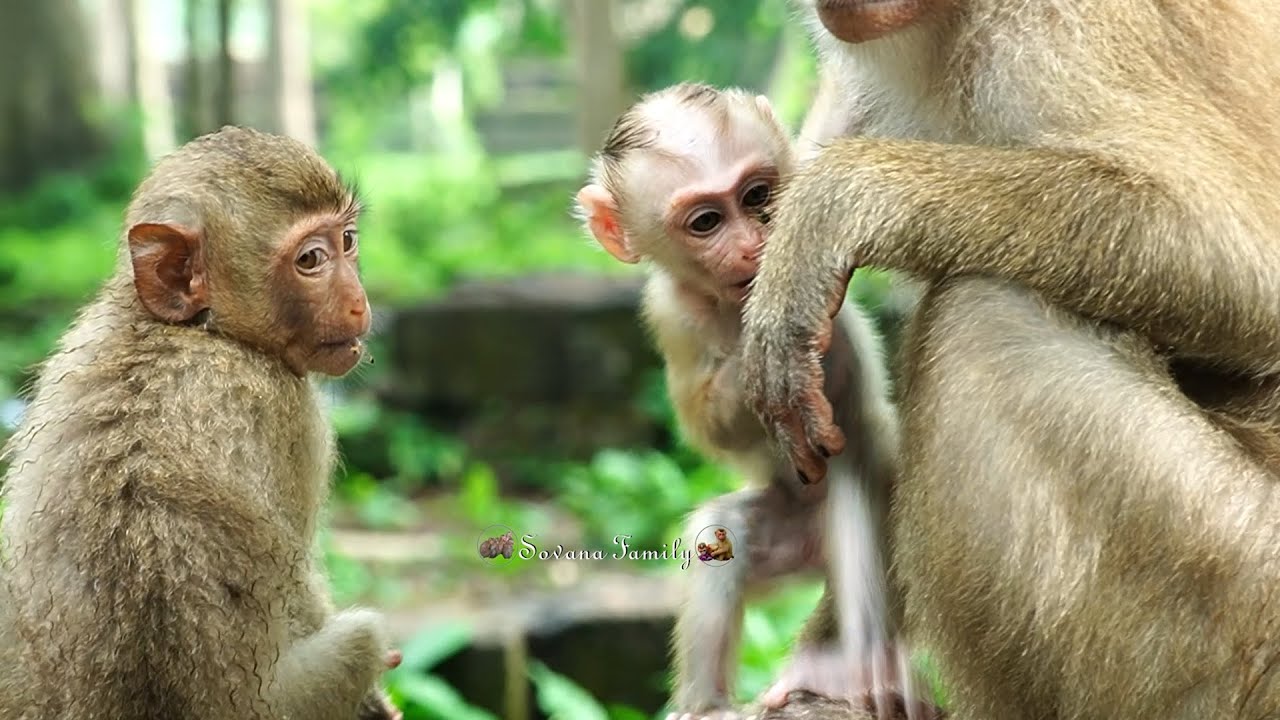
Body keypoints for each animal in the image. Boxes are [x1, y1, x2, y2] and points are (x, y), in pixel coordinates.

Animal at [0, 126, 402, 720]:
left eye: (347, 241)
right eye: (310, 259)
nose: (358, 303)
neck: (196, 328)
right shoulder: (294, 414)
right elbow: (302, 593)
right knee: (362, 637)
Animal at [576, 83, 939, 720]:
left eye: (757, 196)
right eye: (706, 221)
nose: (753, 246)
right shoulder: (672, 313)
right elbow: (706, 423)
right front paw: (759, 350)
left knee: (854, 484)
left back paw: (857, 668)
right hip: (785, 534)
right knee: (723, 535)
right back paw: (707, 704)